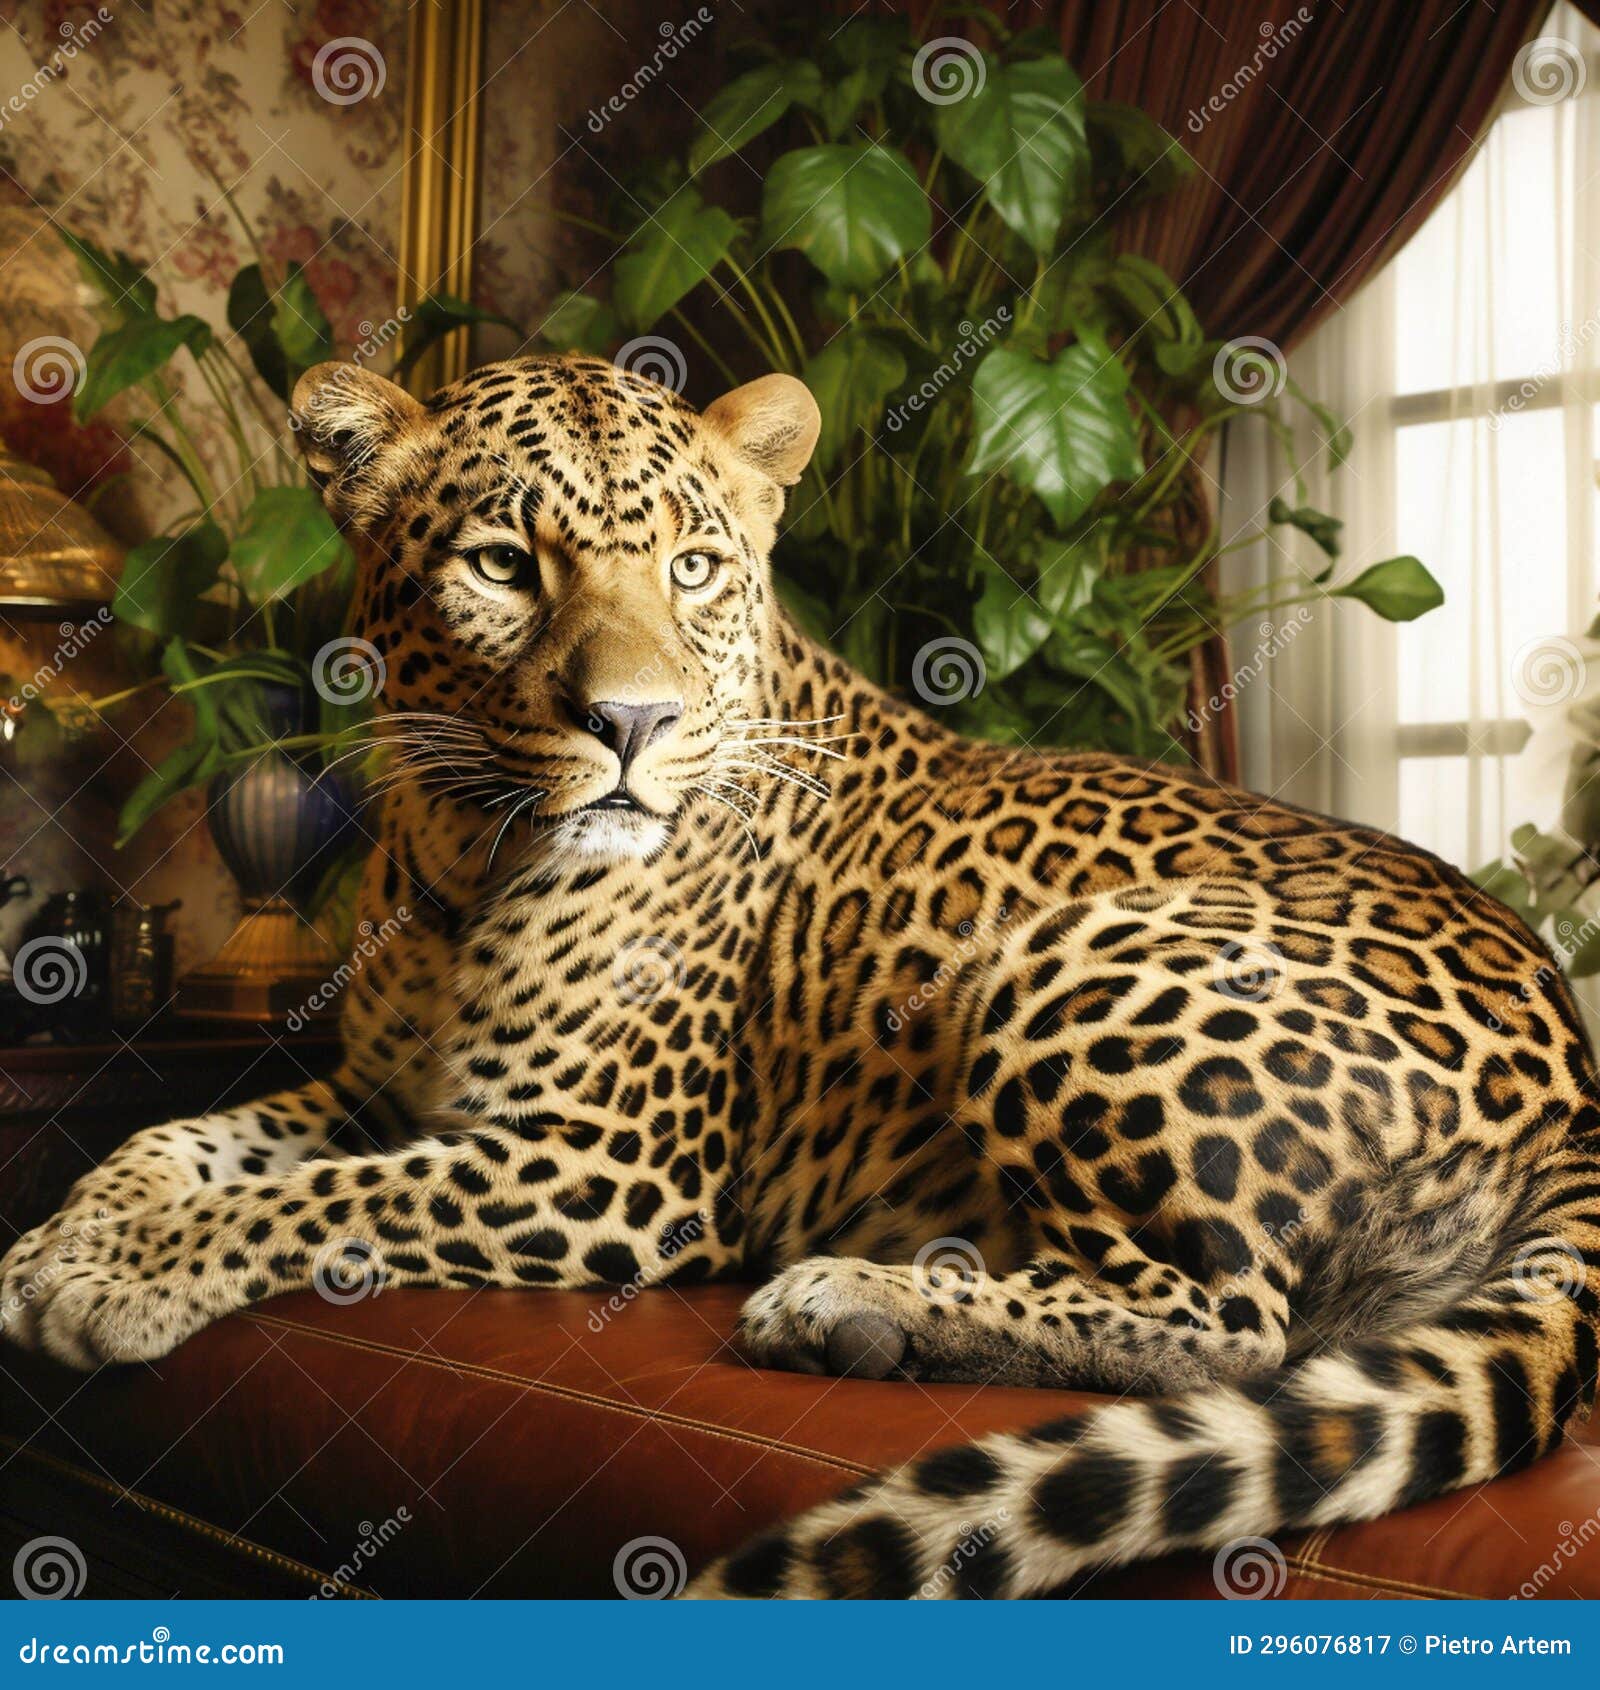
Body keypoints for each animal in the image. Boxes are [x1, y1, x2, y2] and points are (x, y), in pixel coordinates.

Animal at [4, 352, 1598, 1601]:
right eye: (503, 565)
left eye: (693, 568)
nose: (630, 723)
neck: (462, 850)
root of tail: (1575, 1067)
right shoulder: (378, 1091)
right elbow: (183, 1136)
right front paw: (70, 1234)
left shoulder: (615, 1165)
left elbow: (332, 1200)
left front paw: (118, 1274)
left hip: (1069, 959)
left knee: (1234, 1324)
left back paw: (842, 1299)